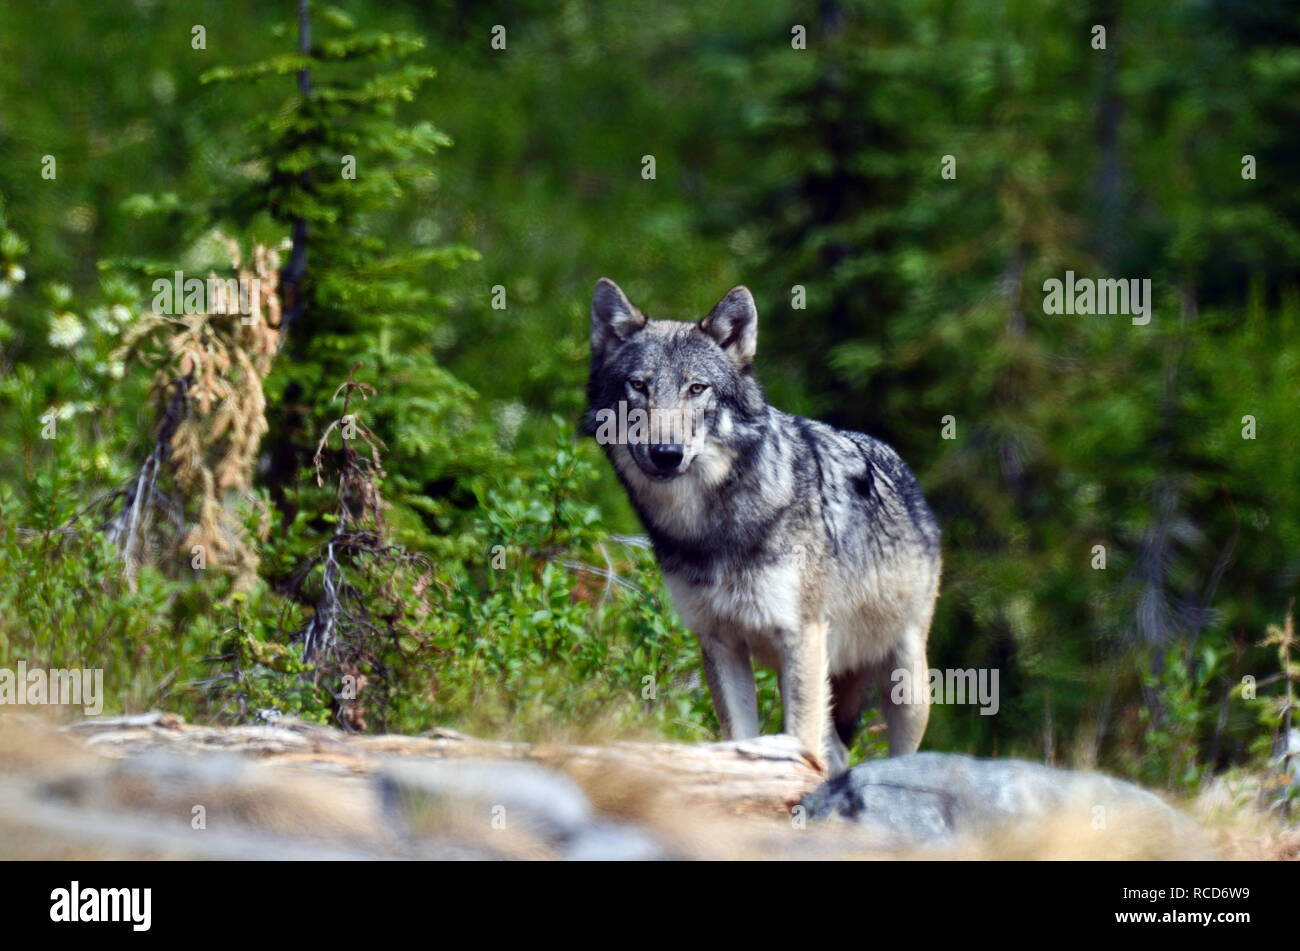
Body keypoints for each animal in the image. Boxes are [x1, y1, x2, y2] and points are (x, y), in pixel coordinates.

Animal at [584, 278, 941, 775]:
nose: (666, 454)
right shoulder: (719, 642)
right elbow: (740, 741)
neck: (711, 528)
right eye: (638, 386)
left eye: (697, 388)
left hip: (905, 681)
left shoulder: (802, 637)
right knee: (835, 750)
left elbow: (799, 740)